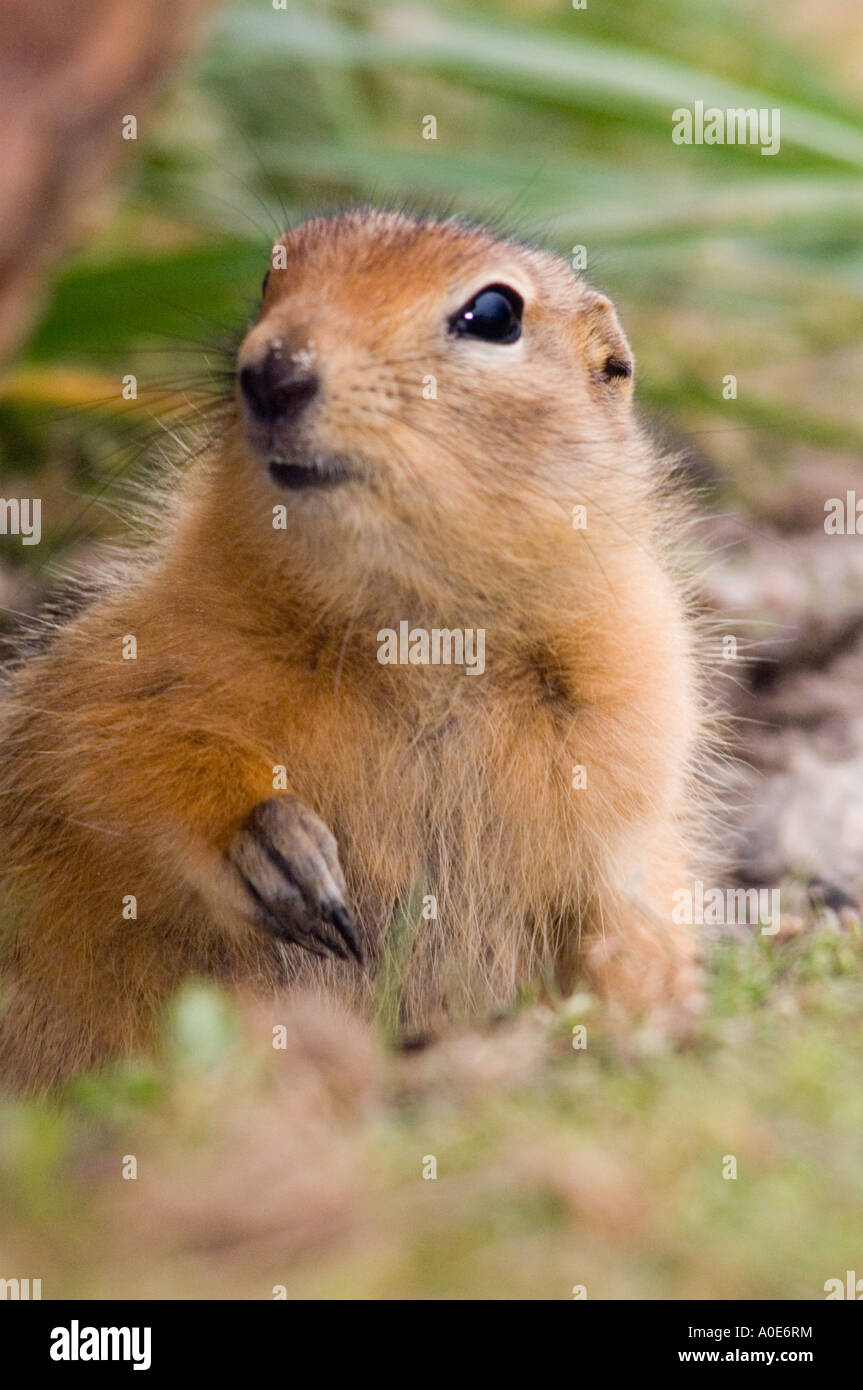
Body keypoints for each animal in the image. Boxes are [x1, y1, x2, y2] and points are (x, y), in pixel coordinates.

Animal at [0, 209, 706, 1090]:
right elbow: (114, 749)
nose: (273, 372)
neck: (417, 634)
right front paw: (271, 842)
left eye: (495, 314)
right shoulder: (129, 657)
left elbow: (624, 894)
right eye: (271, 277)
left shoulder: (637, 699)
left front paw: (644, 1001)